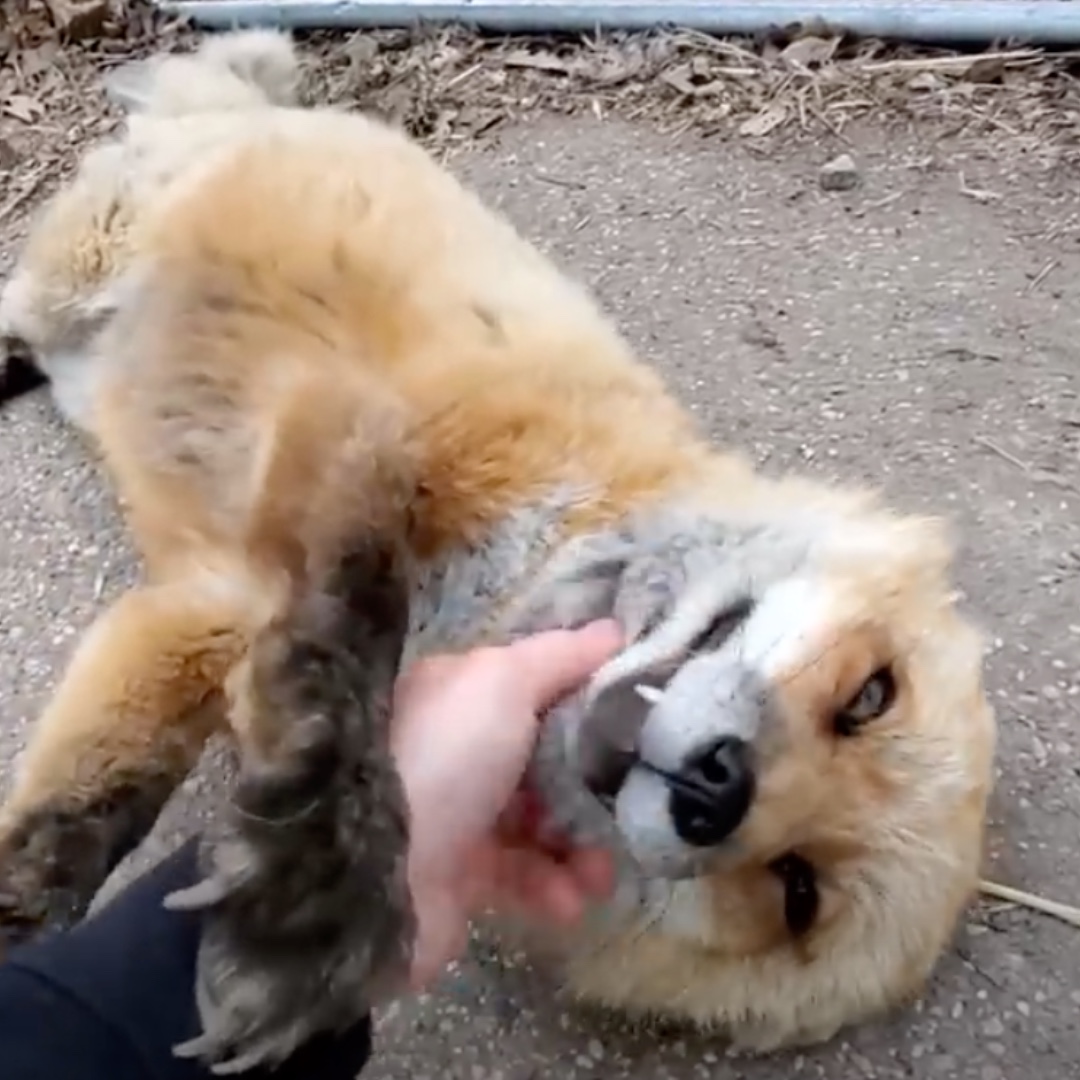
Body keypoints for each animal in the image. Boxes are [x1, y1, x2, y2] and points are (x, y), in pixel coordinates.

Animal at [0, 29, 997, 1076]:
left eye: (796, 892)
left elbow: (106, 785)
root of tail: (260, 109)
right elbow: (337, 641)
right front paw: (327, 870)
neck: (517, 580)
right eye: (871, 696)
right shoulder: (352, 433)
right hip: (75, 272)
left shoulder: (217, 600)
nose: (717, 790)